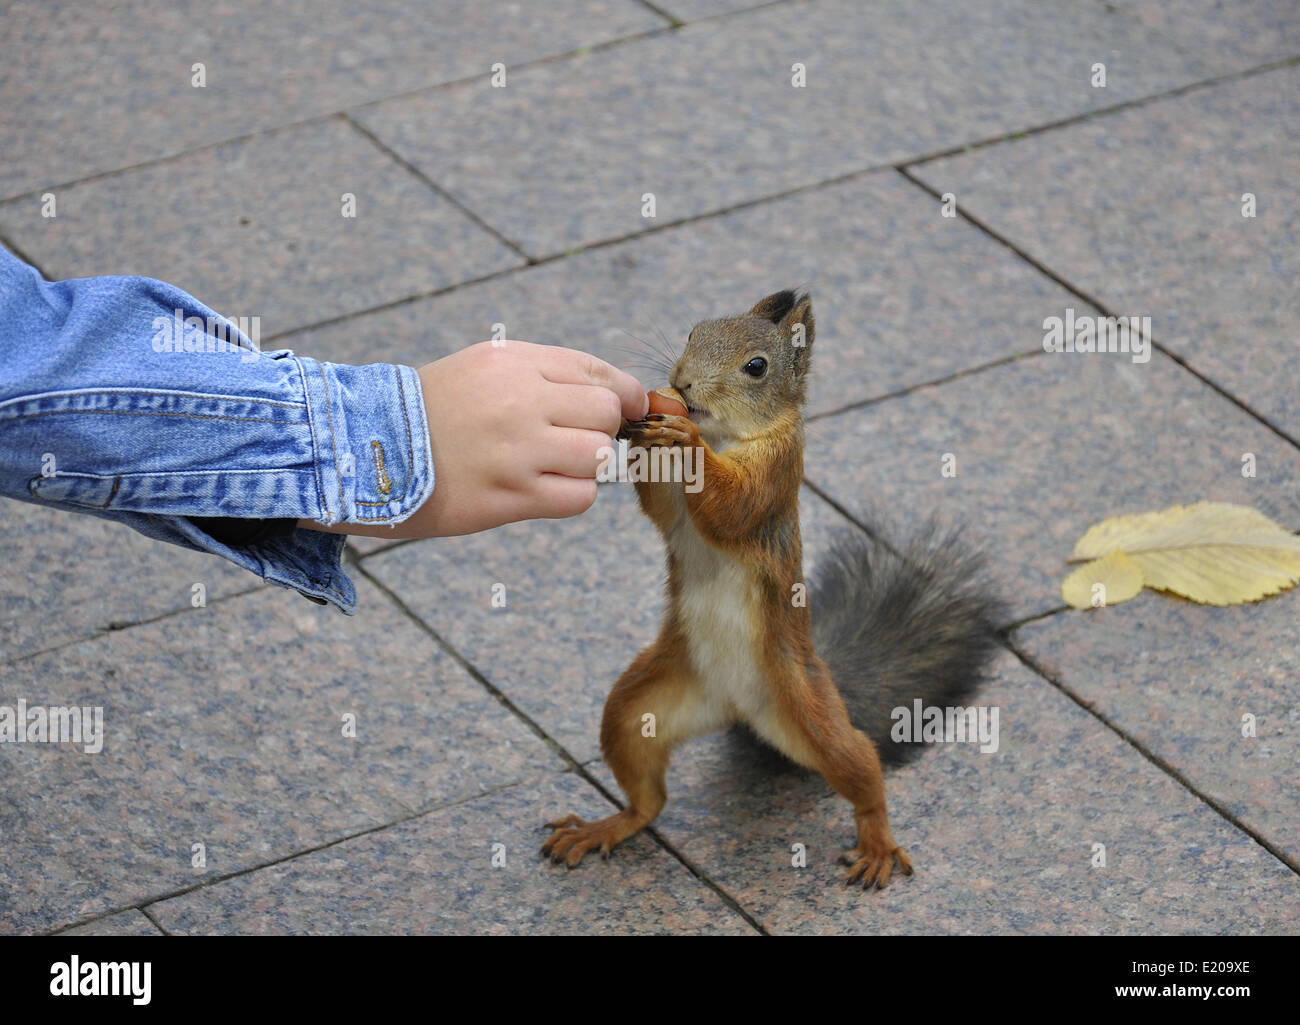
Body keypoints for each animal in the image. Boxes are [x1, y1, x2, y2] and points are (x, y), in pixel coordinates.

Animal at [542, 289, 1004, 889]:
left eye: (757, 367)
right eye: (694, 332)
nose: (681, 381)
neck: (725, 433)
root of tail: (735, 708)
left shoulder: (777, 468)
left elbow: (732, 508)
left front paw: (684, 438)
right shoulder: (674, 509)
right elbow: (664, 508)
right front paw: (648, 423)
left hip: (809, 710)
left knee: (860, 765)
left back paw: (877, 842)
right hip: (642, 705)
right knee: (646, 798)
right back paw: (606, 826)